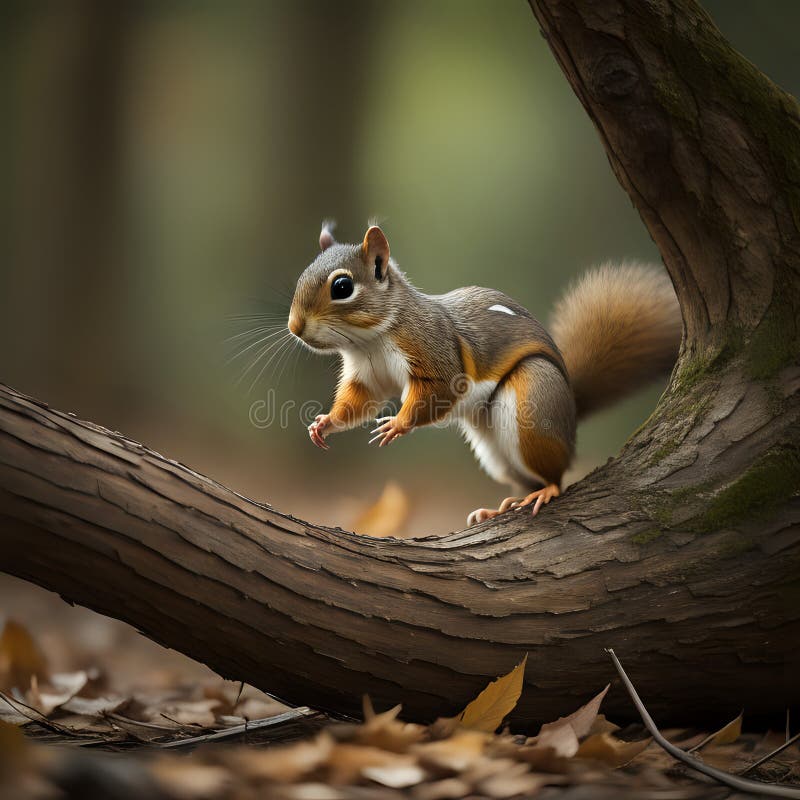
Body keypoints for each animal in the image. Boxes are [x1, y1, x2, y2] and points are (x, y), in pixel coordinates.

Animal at [288, 222, 681, 526]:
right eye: (302, 274)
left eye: (342, 287)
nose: (294, 327)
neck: (370, 340)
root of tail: (569, 411)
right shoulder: (367, 375)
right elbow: (359, 403)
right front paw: (324, 424)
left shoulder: (434, 351)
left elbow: (437, 391)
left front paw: (398, 423)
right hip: (492, 450)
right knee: (522, 479)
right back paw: (500, 508)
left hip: (533, 401)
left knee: (555, 474)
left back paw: (545, 491)